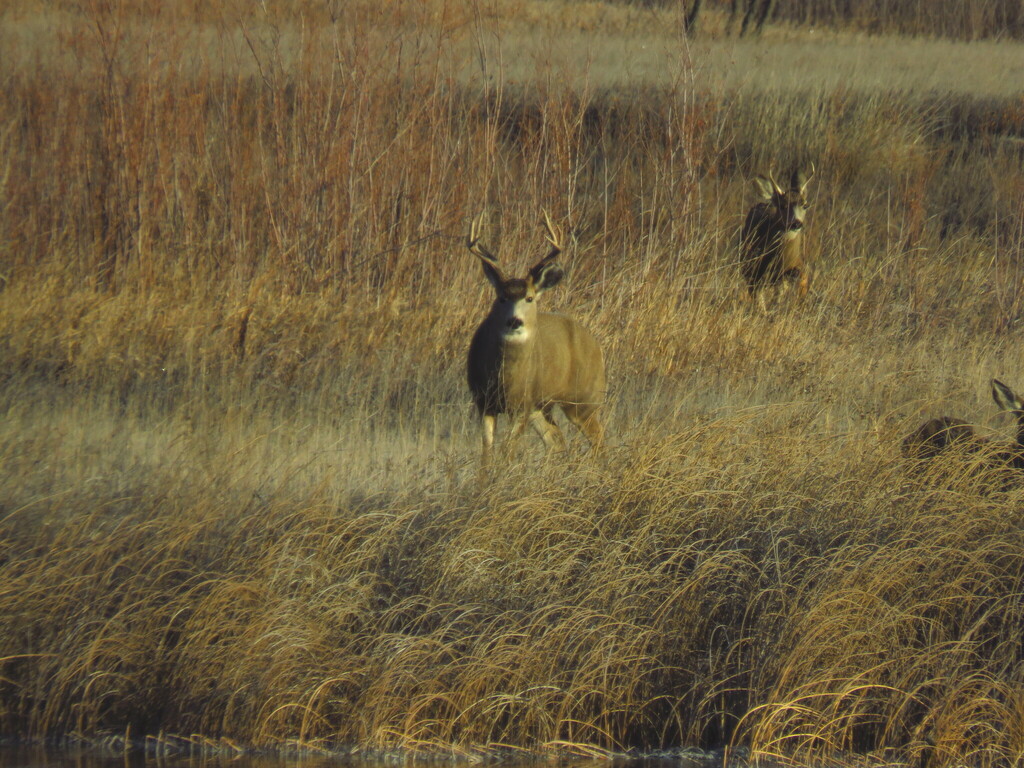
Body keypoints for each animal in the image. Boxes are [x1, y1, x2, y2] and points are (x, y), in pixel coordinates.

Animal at [465, 211, 606, 464]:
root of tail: (596, 346)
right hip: (543, 406)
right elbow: (487, 451)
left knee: (598, 439)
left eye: (529, 298)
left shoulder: (523, 403)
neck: (504, 379)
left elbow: (507, 451)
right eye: (501, 297)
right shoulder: (484, 401)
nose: (515, 321)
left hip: (583, 398)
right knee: (557, 440)